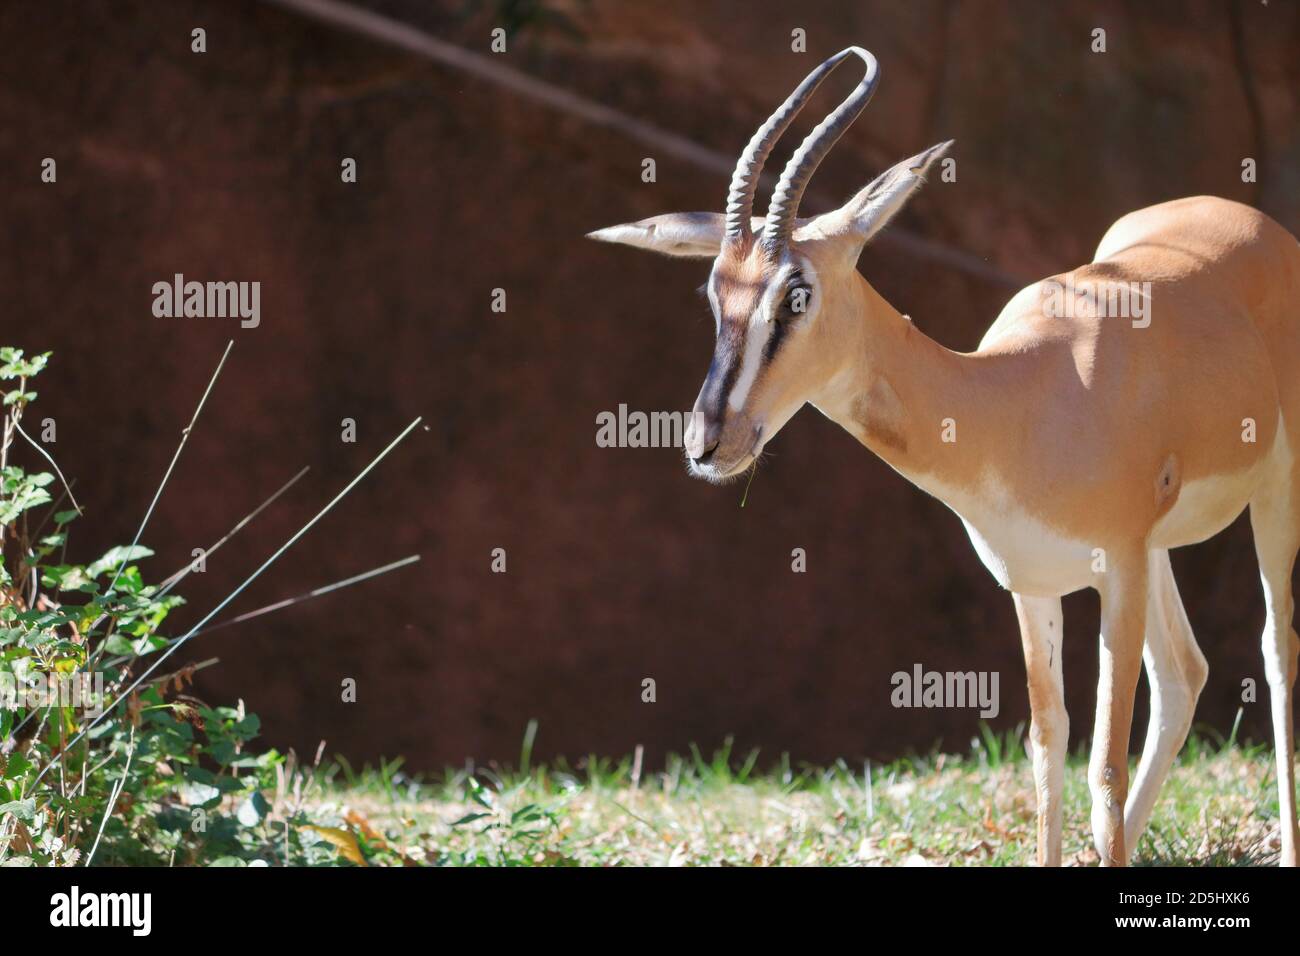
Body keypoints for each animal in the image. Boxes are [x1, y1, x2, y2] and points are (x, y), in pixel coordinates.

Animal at [588, 47, 1300, 866]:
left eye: (795, 294)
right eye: (714, 292)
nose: (708, 443)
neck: (1016, 399)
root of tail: (1252, 222)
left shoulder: (1115, 568)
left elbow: (1104, 765)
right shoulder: (1034, 583)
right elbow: (1048, 747)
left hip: (1270, 498)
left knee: (1276, 651)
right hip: (1157, 556)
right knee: (1185, 672)